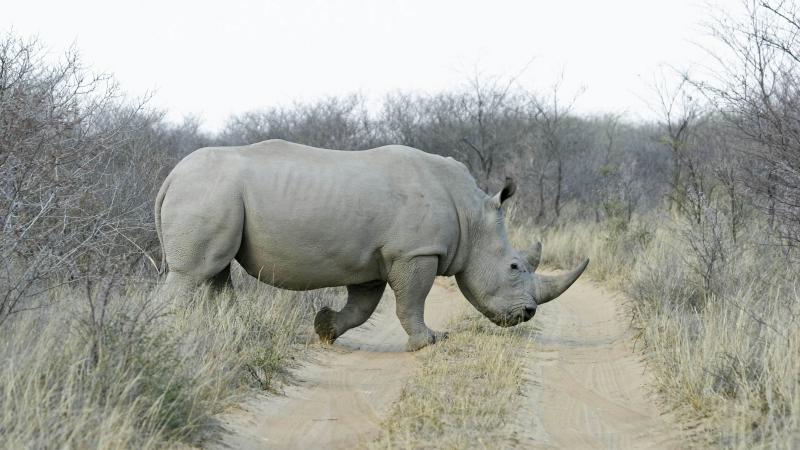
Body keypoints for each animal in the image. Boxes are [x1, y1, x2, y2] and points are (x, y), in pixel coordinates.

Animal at [155, 139, 588, 351]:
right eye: (514, 267)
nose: (528, 314)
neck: (471, 214)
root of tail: (170, 176)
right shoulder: (415, 251)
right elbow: (412, 301)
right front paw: (428, 342)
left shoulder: (374, 259)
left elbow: (362, 308)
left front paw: (325, 329)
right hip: (207, 191)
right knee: (191, 273)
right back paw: (167, 337)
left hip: (213, 192)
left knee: (215, 272)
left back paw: (238, 334)